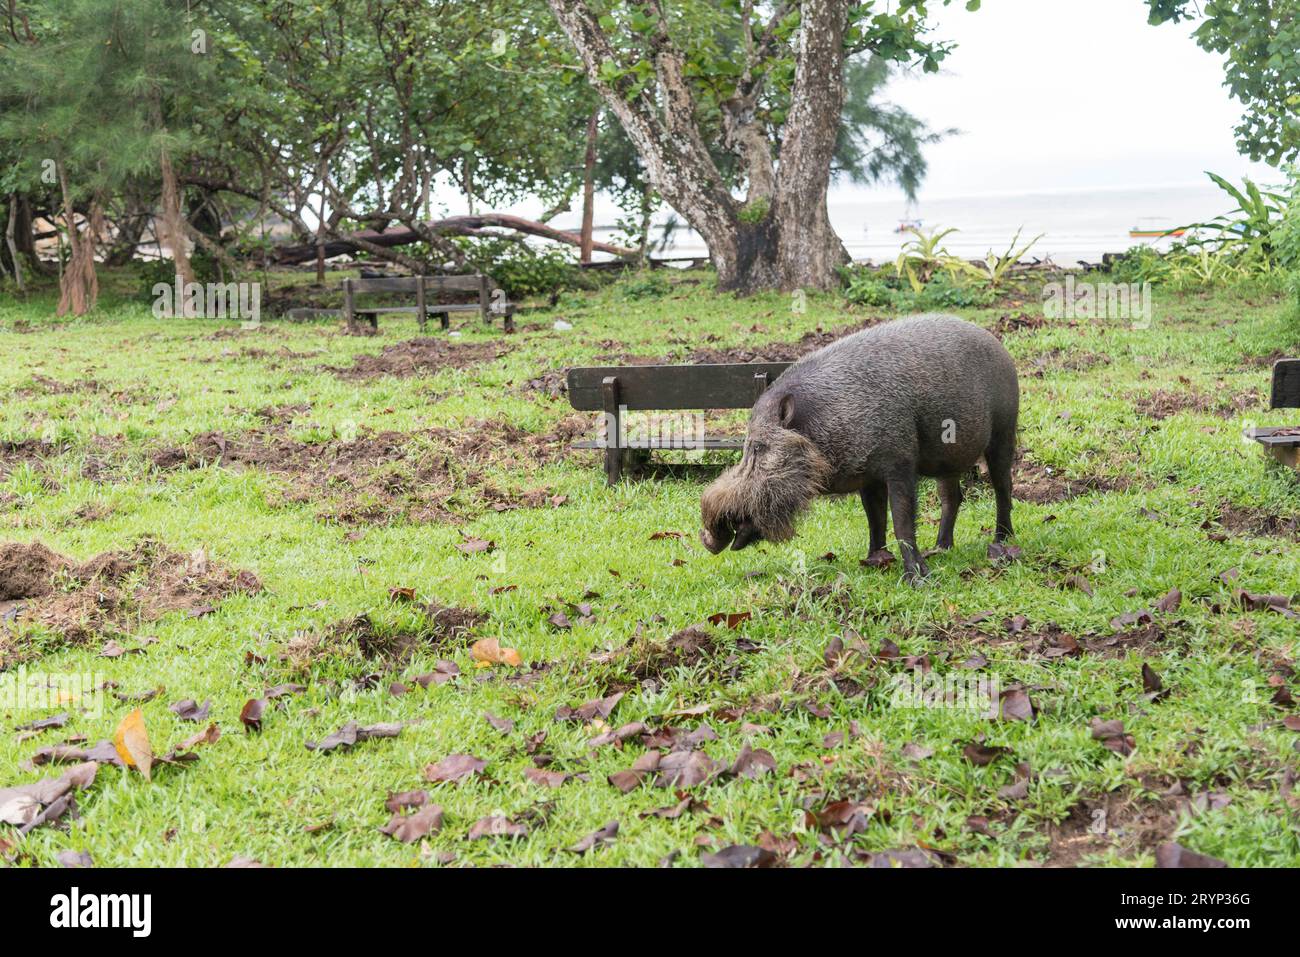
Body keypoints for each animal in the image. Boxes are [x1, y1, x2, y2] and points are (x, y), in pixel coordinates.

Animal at [700, 313, 1018, 582]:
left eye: (757, 447)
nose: (706, 538)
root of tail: (1000, 347)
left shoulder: (901, 462)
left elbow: (902, 520)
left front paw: (917, 579)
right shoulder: (868, 476)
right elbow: (874, 519)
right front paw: (874, 560)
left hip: (1004, 431)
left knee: (1003, 487)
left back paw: (1001, 542)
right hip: (948, 461)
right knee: (952, 497)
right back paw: (940, 549)